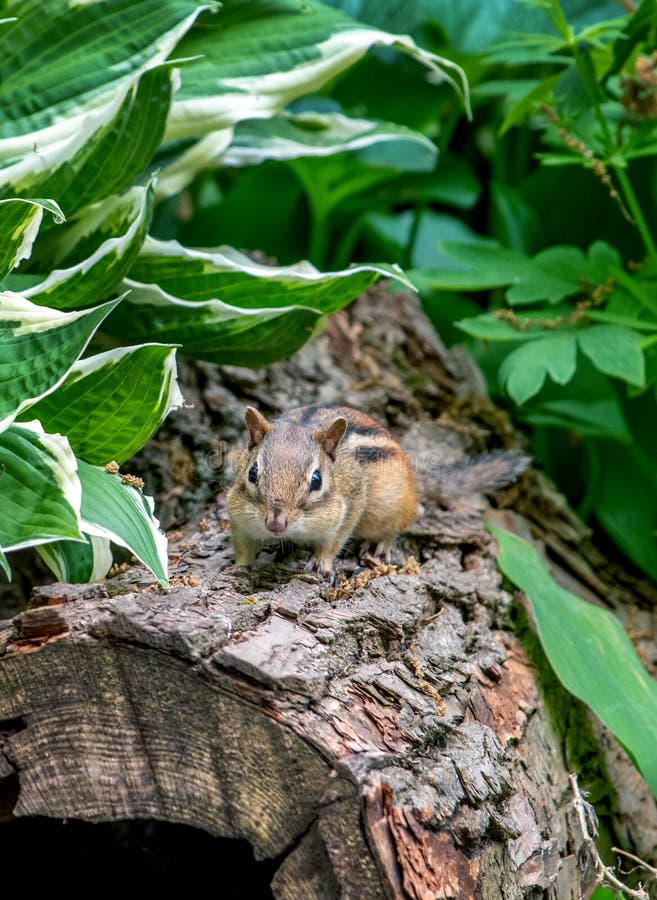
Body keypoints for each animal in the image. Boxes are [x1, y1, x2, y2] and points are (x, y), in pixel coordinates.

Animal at [226, 404, 528, 579]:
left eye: (316, 480)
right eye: (252, 473)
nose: (276, 524)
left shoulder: (349, 505)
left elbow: (334, 541)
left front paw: (323, 564)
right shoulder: (238, 514)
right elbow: (243, 545)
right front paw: (239, 566)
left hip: (389, 506)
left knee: (408, 518)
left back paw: (382, 544)